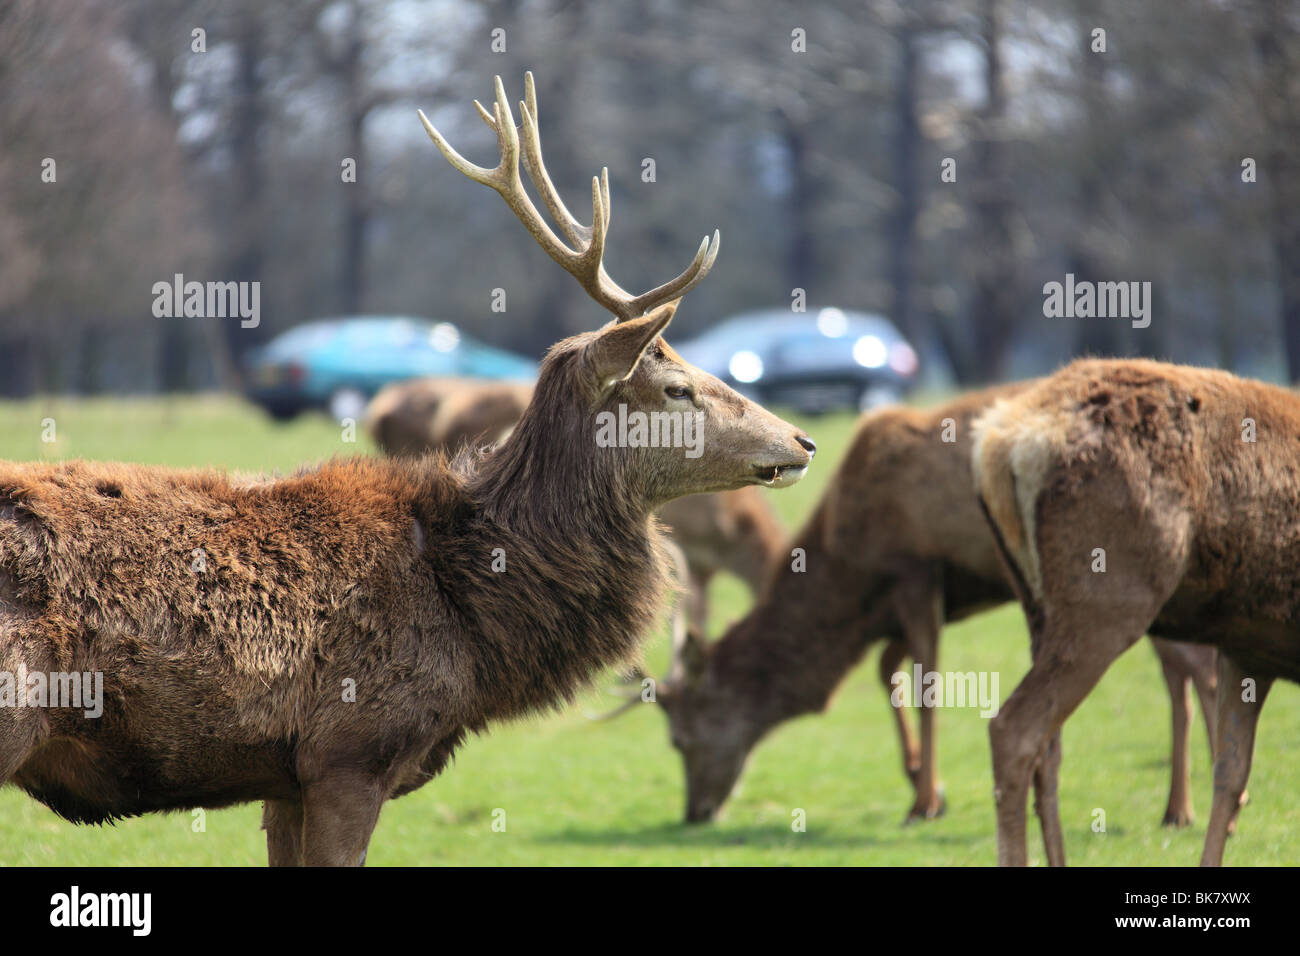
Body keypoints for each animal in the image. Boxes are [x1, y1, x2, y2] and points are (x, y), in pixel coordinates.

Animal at [636, 382, 1220, 827]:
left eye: (680, 740)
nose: (696, 813)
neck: (850, 571)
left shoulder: (917, 573)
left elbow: (927, 684)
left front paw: (923, 801)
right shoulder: (902, 605)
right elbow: (887, 670)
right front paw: (923, 780)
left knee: (1186, 666)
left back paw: (1186, 806)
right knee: (1186, 666)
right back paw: (1190, 801)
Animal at [972, 357, 1288, 865]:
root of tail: (1000, 446)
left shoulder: (1248, 651)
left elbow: (1231, 771)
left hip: (1038, 609)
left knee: (1049, 748)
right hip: (1107, 604)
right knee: (1015, 729)